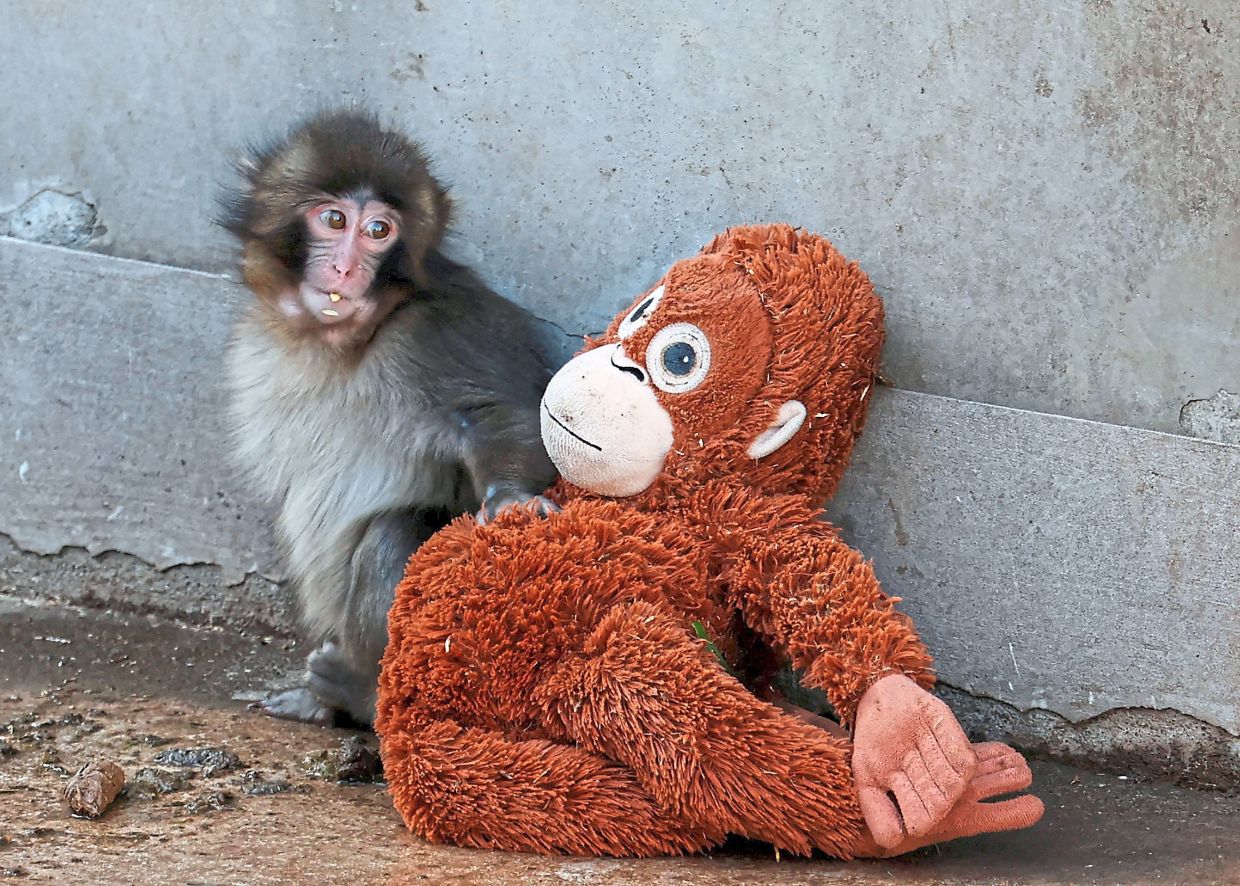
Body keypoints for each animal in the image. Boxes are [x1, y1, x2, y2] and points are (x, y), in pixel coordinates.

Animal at [219, 110, 559, 727]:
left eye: (380, 230)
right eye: (334, 219)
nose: (346, 267)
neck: (344, 341)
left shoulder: (438, 333)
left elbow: (499, 413)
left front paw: (512, 500)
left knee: (392, 535)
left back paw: (359, 694)